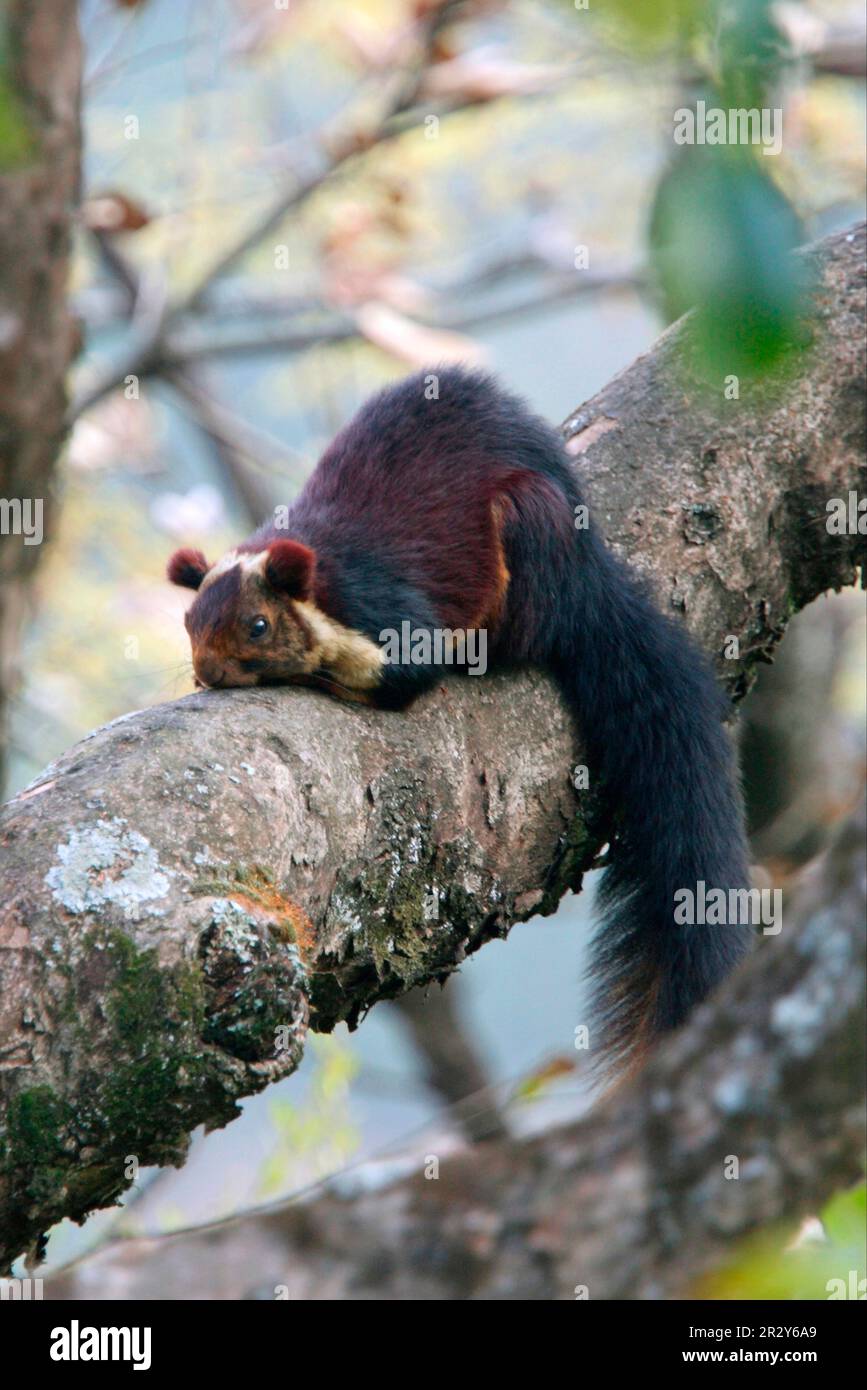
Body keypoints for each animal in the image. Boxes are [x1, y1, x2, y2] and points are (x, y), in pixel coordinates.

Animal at [168, 367, 752, 1067]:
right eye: (189, 621)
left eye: (257, 626)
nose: (209, 673)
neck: (324, 586)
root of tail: (588, 572)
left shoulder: (392, 621)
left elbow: (398, 679)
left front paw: (321, 677)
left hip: (525, 531)